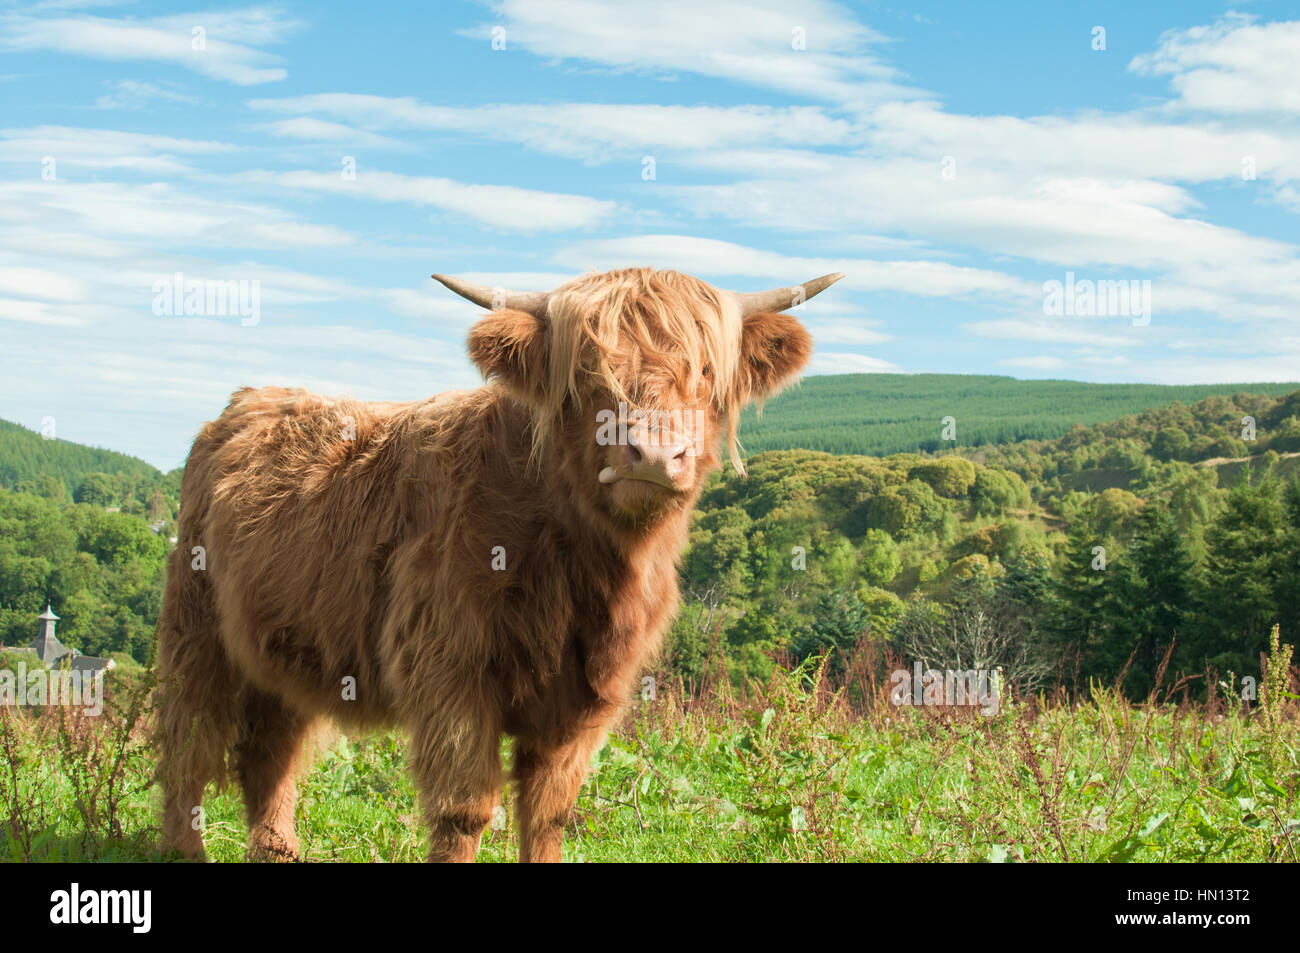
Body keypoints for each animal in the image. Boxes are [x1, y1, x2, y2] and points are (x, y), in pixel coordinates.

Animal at [155, 266, 841, 862]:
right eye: (587, 373)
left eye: (704, 369)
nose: (651, 455)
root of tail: (248, 400)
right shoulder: (450, 671)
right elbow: (464, 812)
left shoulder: (587, 697)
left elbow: (549, 813)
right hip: (195, 631)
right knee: (188, 745)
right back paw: (185, 850)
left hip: (282, 647)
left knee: (270, 751)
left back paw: (278, 851)